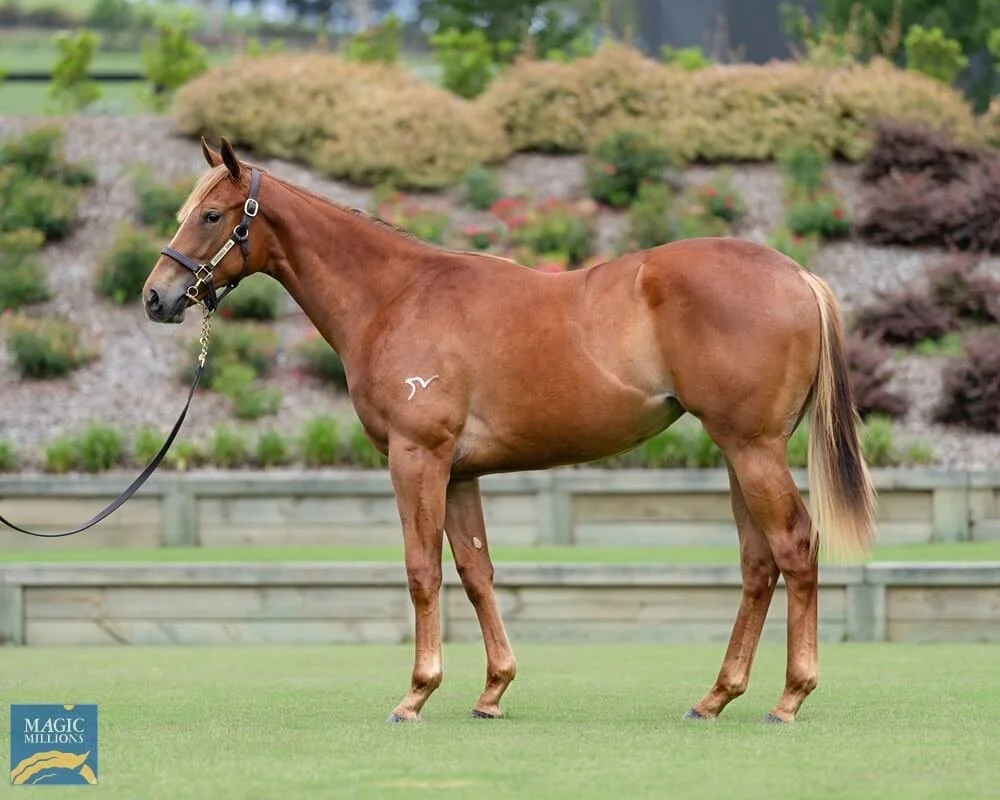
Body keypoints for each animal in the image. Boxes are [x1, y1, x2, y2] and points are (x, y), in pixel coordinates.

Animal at [142, 137, 876, 725]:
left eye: (212, 215)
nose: (156, 296)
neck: (395, 295)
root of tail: (796, 274)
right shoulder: (460, 472)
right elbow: (476, 572)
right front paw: (493, 691)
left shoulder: (417, 458)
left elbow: (422, 571)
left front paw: (416, 694)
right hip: (738, 452)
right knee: (759, 562)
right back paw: (717, 697)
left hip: (752, 451)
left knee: (795, 546)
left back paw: (790, 698)